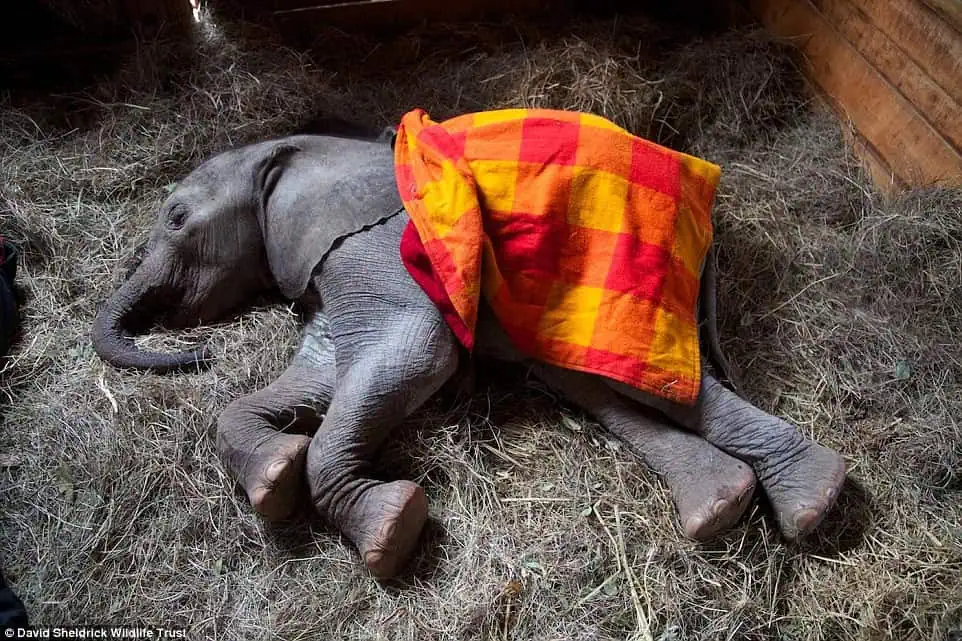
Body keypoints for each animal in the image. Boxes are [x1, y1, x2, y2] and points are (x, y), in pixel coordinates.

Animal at [90, 126, 846, 580]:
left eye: (178, 219)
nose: (197, 355)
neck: (292, 151)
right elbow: (320, 373)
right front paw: (275, 475)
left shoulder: (372, 241)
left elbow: (417, 353)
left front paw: (392, 533)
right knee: (592, 383)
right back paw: (724, 506)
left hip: (626, 266)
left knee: (645, 376)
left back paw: (813, 500)